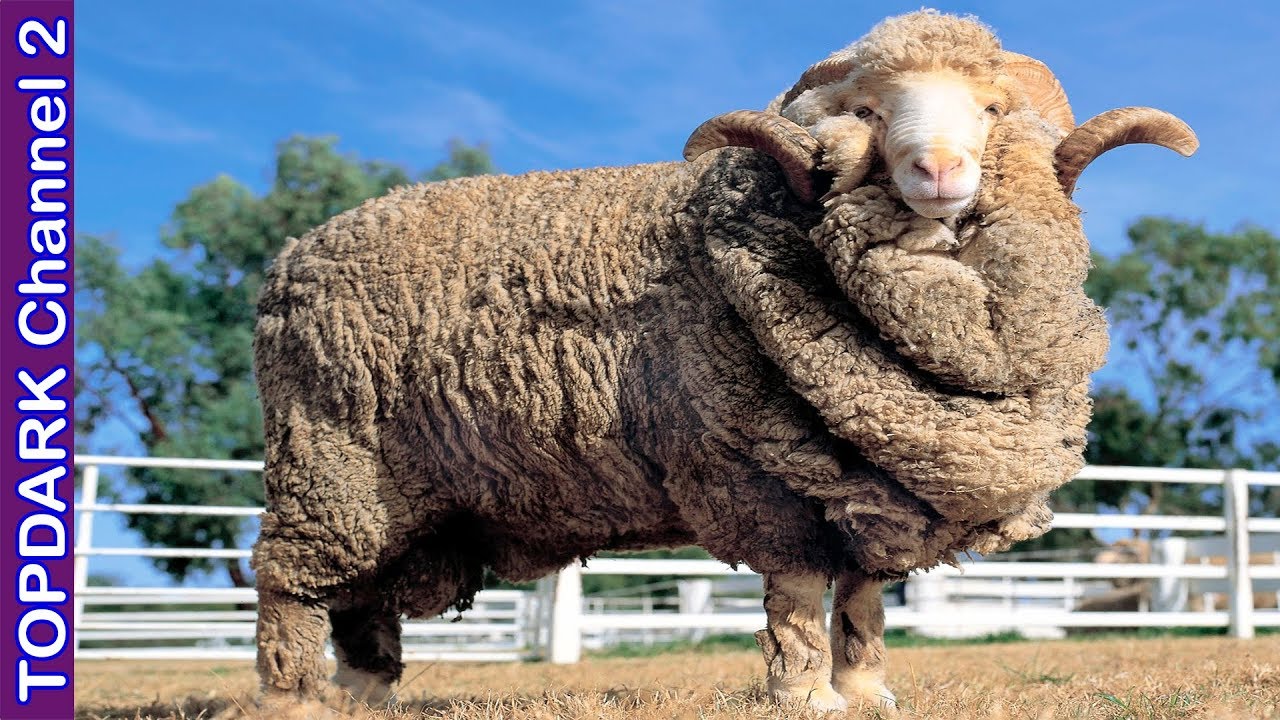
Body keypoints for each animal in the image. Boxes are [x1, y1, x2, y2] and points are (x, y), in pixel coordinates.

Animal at [250, 10, 1196, 713]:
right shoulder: (757, 474)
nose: (937, 168)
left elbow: (860, 599)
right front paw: (805, 695)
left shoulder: (864, 486)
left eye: (993, 110)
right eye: (869, 111)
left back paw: (364, 699)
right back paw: (293, 700)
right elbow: (799, 591)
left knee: (362, 600)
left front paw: (869, 693)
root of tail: (294, 254)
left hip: (392, 498)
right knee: (288, 583)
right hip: (327, 462)